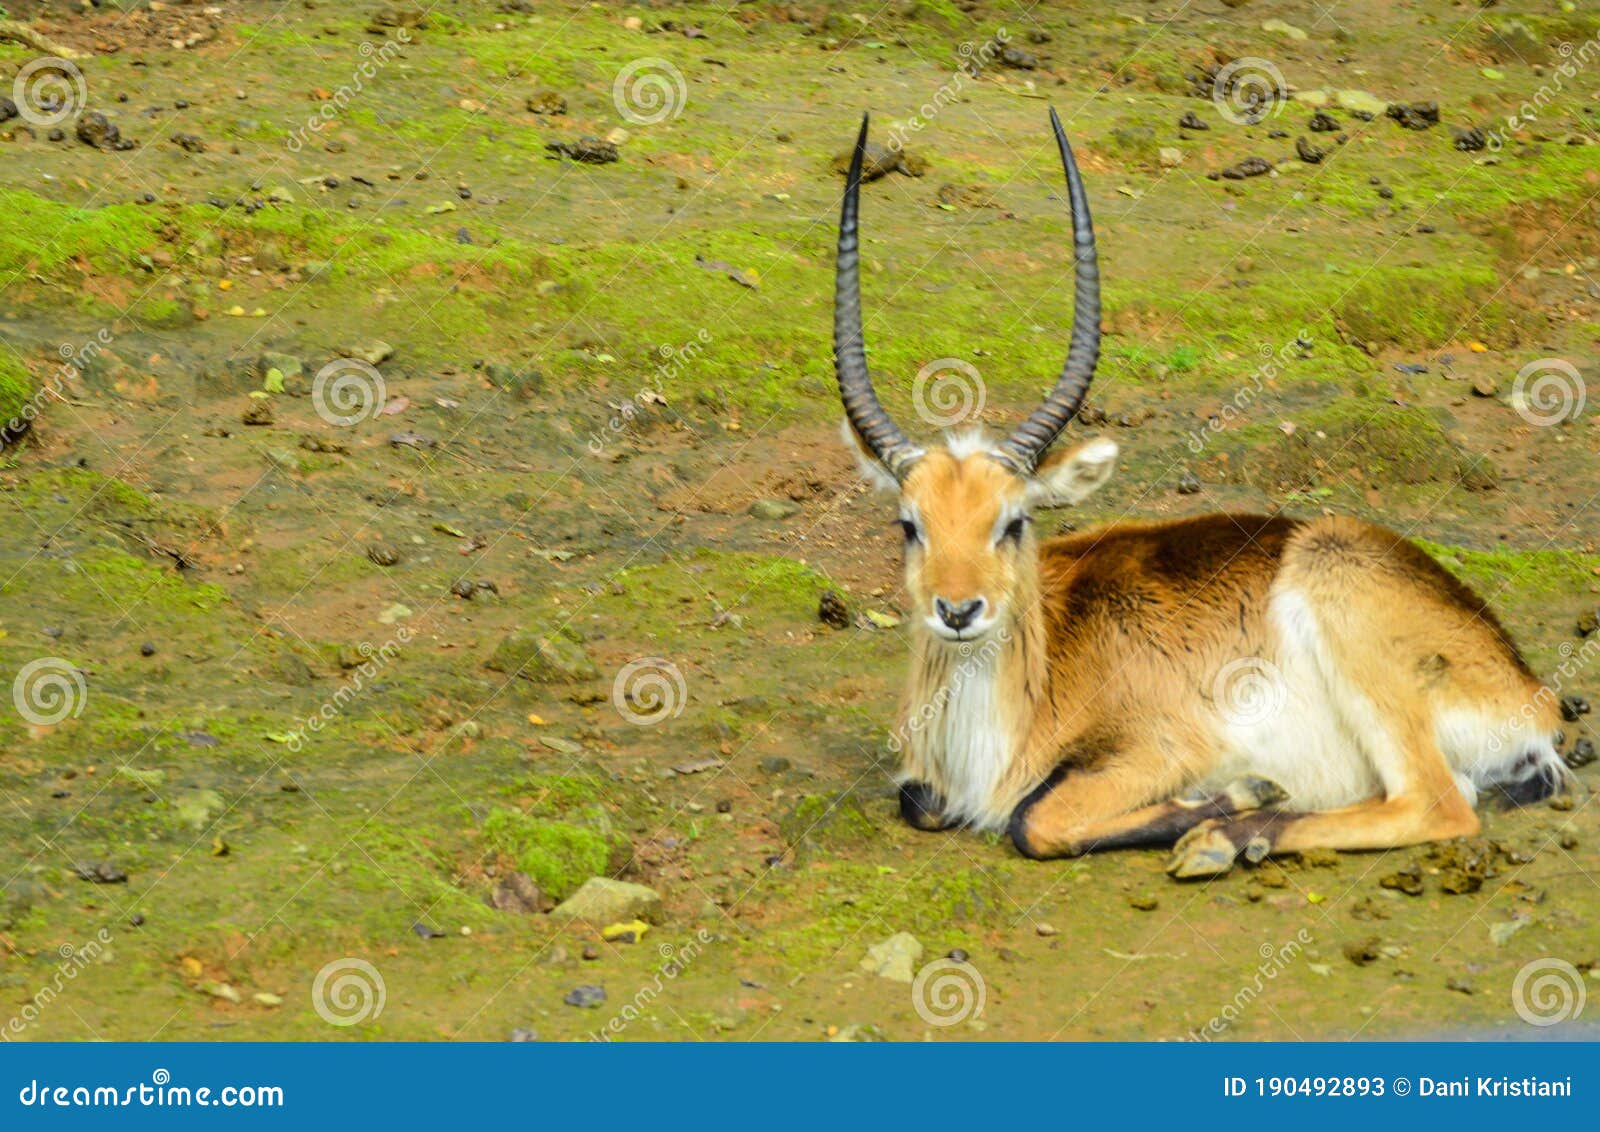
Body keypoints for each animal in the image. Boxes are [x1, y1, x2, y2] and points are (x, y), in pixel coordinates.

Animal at [834, 111, 1577, 877]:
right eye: (909, 523)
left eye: (1012, 521)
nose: (958, 610)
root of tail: (1527, 689)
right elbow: (920, 800)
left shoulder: (1160, 749)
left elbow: (1032, 818)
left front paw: (1238, 795)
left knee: (1440, 804)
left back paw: (1222, 839)